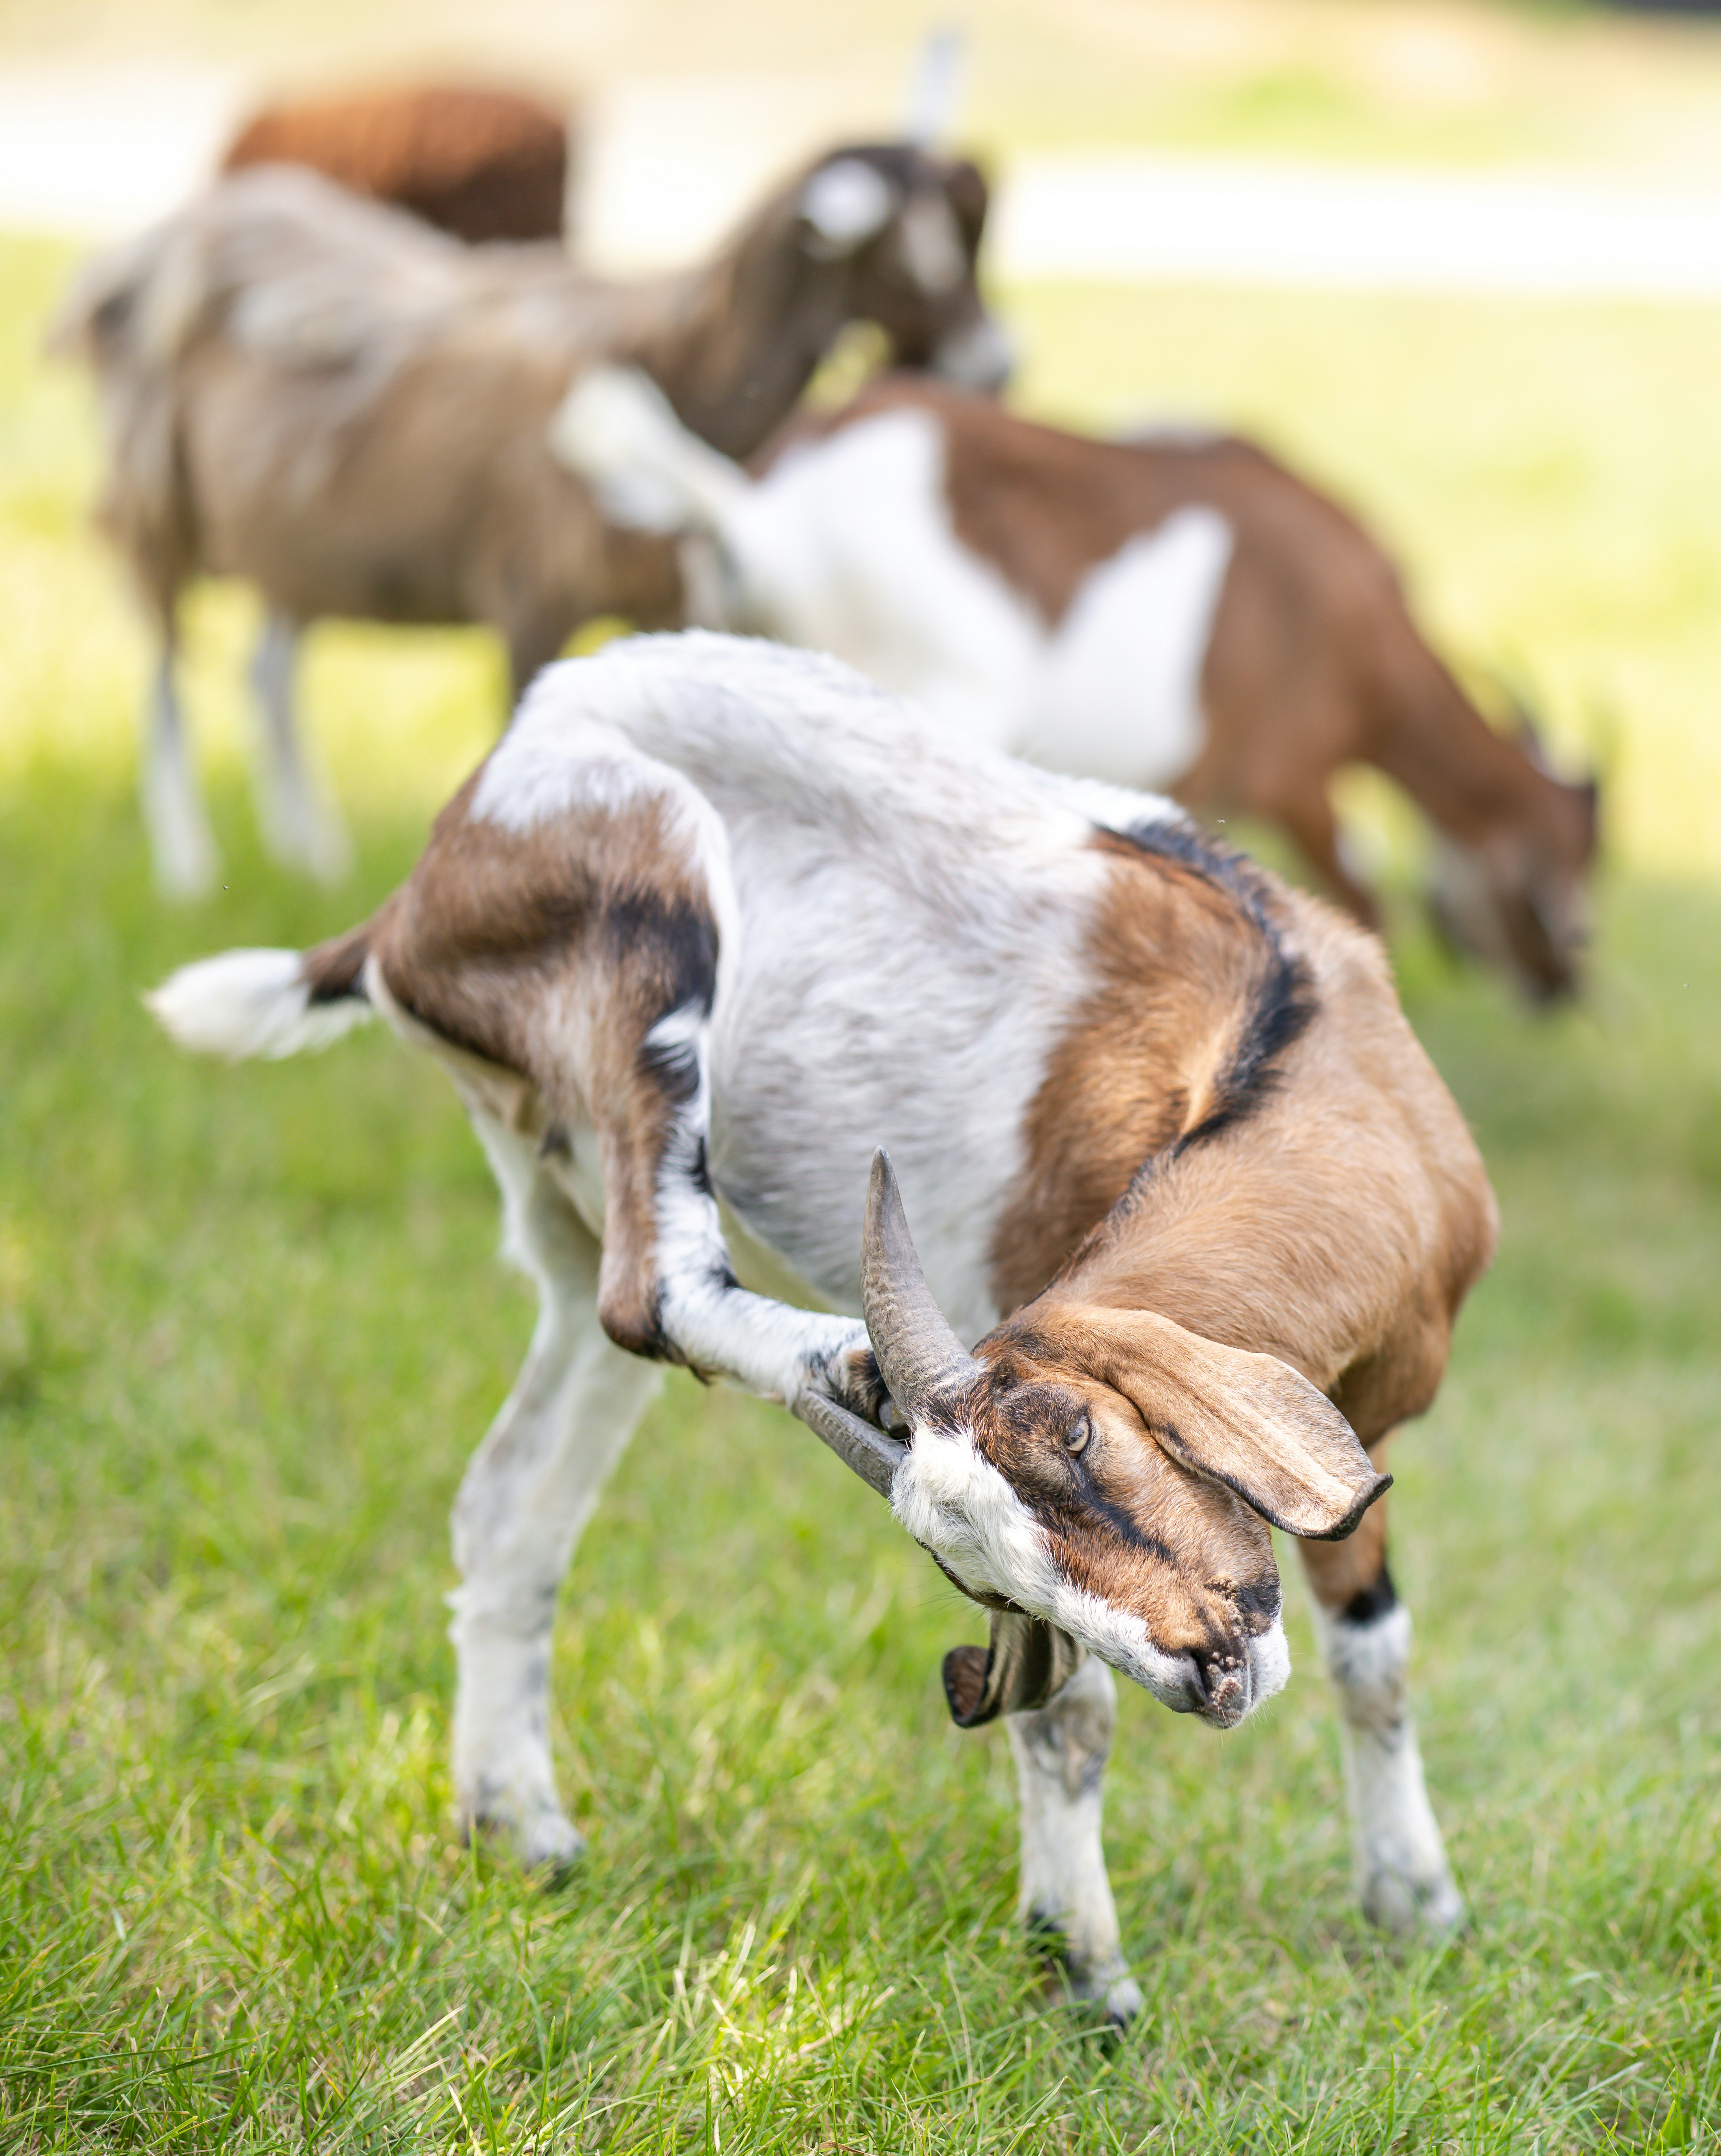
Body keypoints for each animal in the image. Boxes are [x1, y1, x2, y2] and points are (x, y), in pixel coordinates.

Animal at [50, 147, 1006, 897]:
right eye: (906, 261)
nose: (997, 364)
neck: (669, 362)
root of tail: (180, 233)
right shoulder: (527, 595)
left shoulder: (670, 604)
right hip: (155, 509)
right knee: (166, 677)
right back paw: (189, 871)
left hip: (297, 548)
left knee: (268, 674)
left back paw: (310, 856)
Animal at [150, 632, 1497, 2023]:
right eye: (969, 1573)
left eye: (1074, 1432)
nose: (1199, 1666)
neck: (1307, 1059)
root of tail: (429, 873)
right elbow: (1066, 1721)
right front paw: (1086, 1973)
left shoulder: (1358, 1428)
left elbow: (1374, 1653)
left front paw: (1417, 1908)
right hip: (647, 915)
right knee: (654, 1292)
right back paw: (838, 1362)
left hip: (557, 1177)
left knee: (514, 1491)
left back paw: (518, 1827)